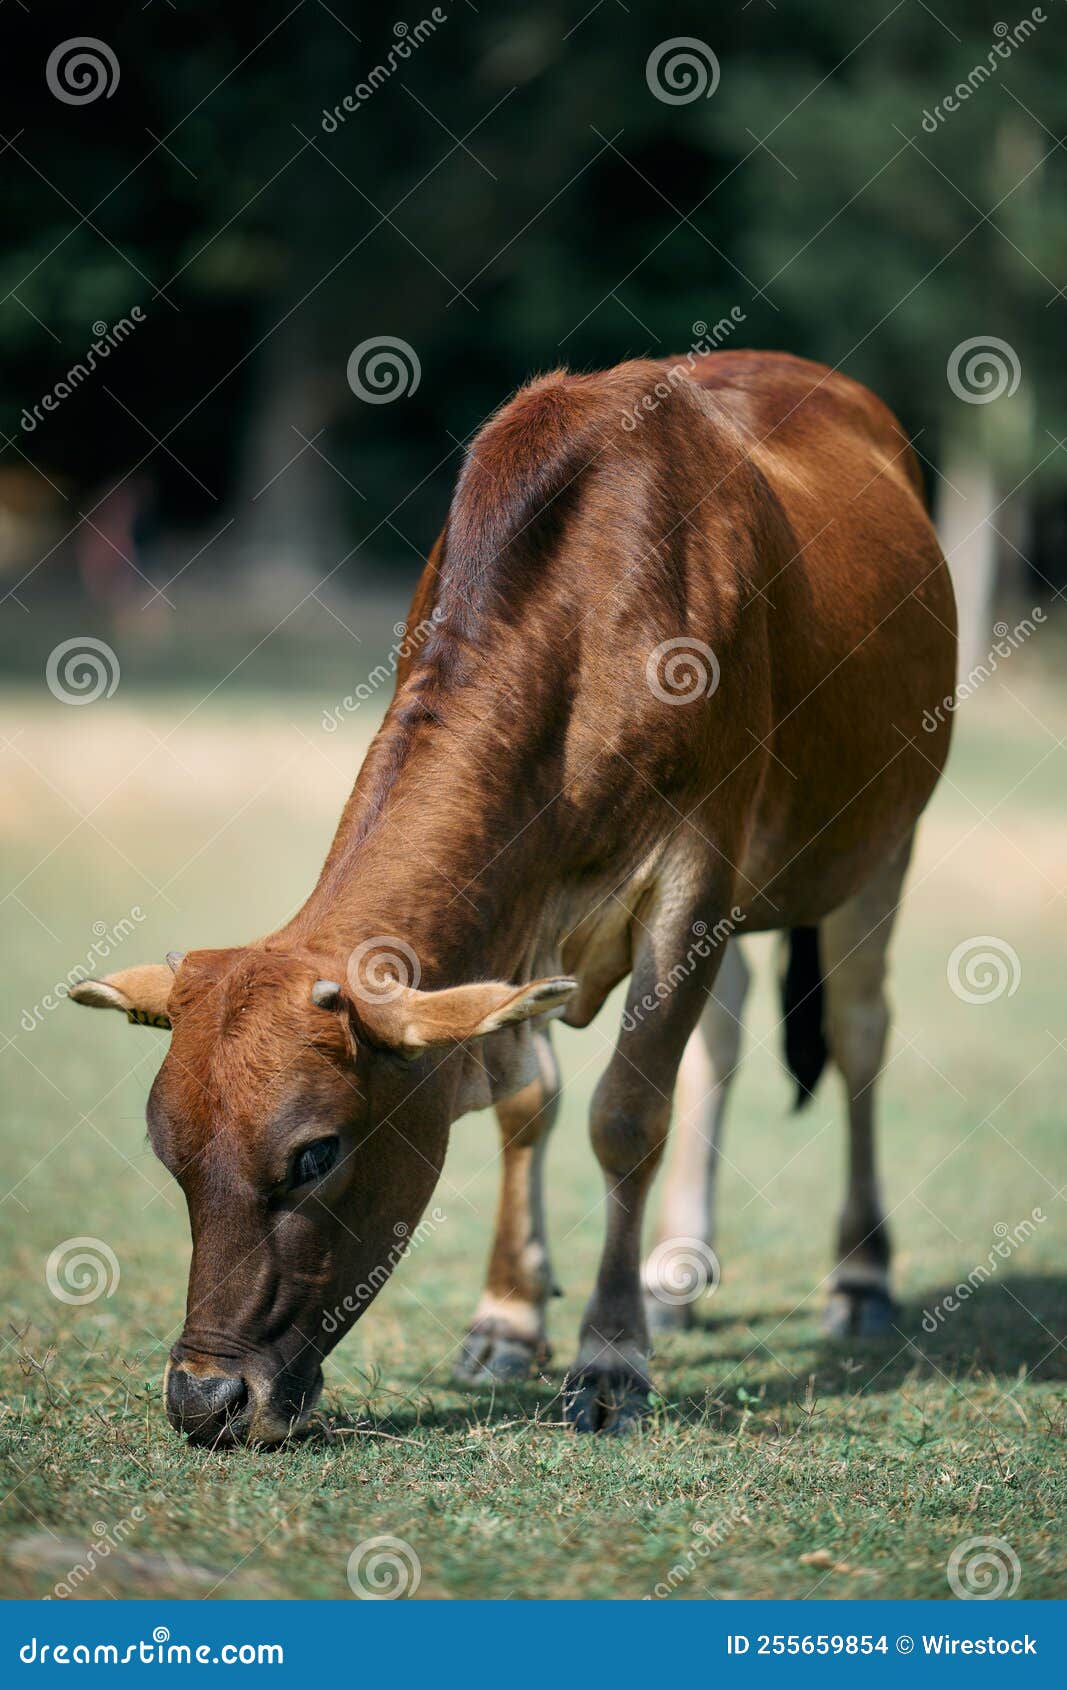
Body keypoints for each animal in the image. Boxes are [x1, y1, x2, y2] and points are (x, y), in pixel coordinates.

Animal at [71, 350, 956, 1444]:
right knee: (725, 1035)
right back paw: (675, 1272)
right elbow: (527, 1099)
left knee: (858, 1030)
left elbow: (626, 1112)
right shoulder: (524, 916)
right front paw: (506, 1317)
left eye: (316, 1155)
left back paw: (858, 1277)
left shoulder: (693, 870)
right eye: (170, 1153)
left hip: (879, 844)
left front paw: (609, 1359)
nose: (205, 1398)